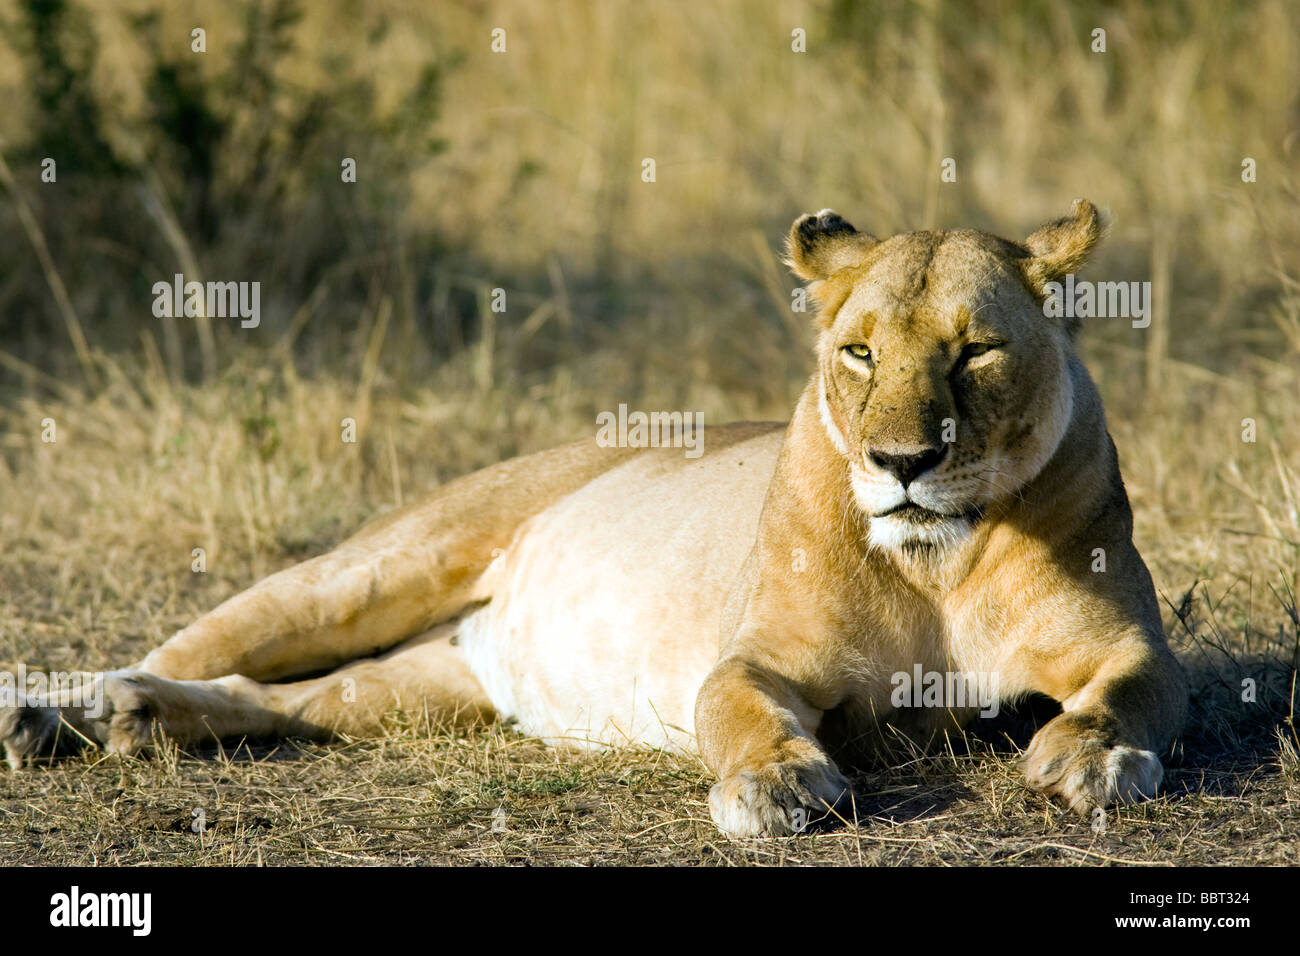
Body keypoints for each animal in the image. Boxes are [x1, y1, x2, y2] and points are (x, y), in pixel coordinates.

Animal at [2, 199, 1187, 838]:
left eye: (975, 351)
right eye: (858, 353)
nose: (903, 463)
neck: (935, 565)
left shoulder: (1128, 644)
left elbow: (1132, 691)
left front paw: (1089, 761)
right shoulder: (758, 657)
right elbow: (739, 713)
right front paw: (775, 785)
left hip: (417, 691)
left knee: (265, 697)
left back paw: (131, 721)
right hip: (366, 569)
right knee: (182, 645)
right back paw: (53, 712)